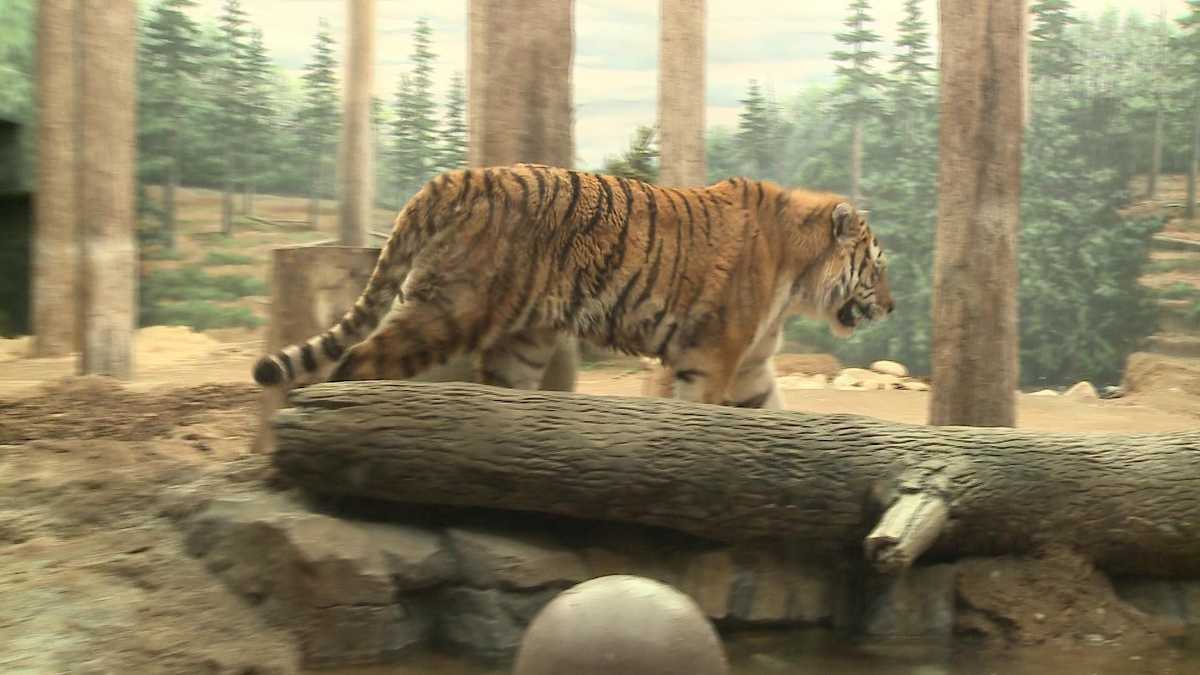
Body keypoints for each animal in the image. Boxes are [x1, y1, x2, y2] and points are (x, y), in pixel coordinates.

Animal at [252, 163, 894, 408]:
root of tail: (457, 178)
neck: (797, 278)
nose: (891, 306)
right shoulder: (712, 355)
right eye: (878, 266)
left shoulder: (752, 364)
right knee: (357, 359)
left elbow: (773, 411)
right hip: (452, 309)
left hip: (522, 339)